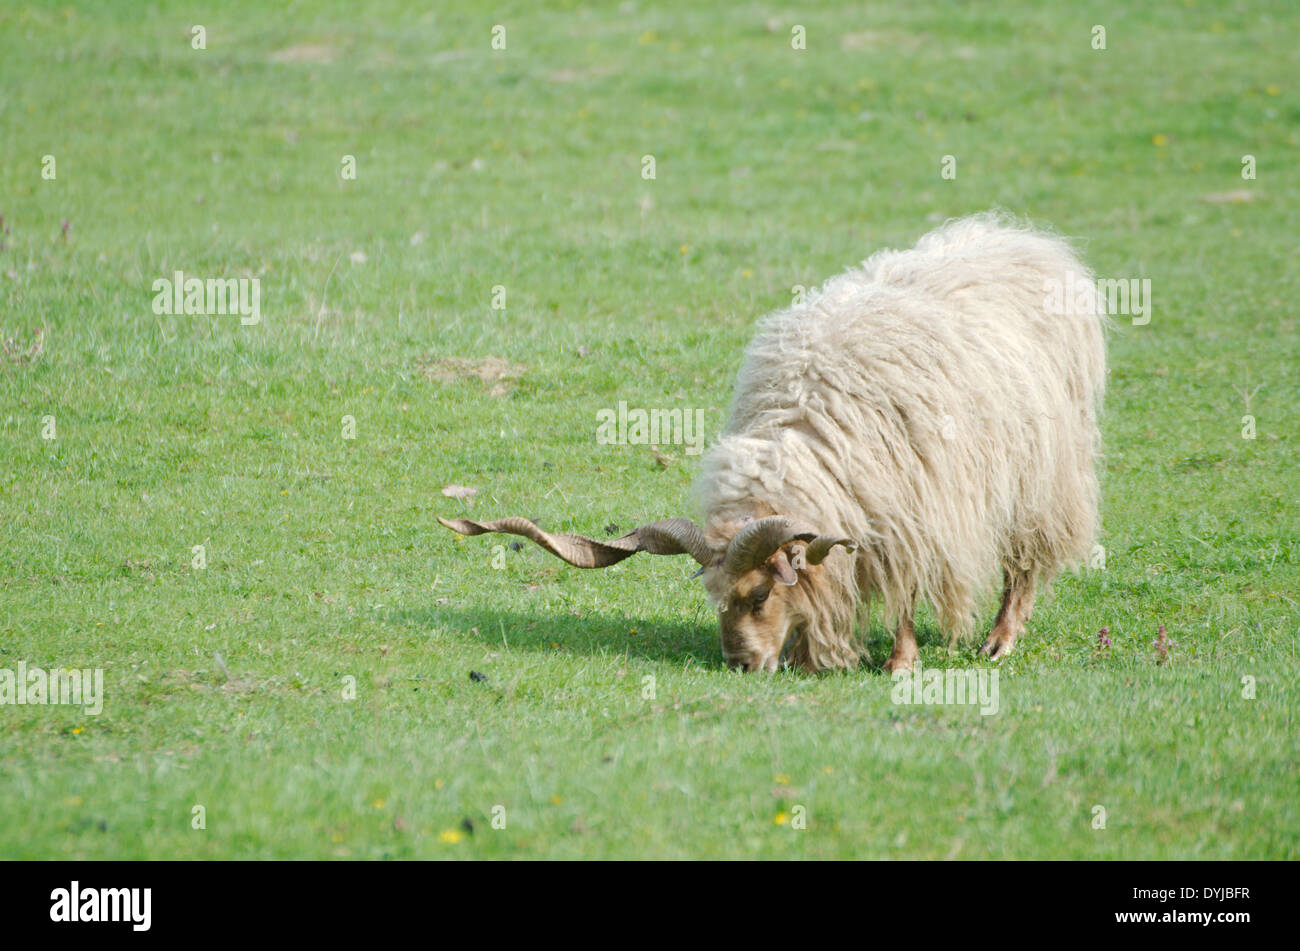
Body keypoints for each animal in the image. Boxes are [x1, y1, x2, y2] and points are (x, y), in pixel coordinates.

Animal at [439, 213, 1107, 675]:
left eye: (759, 593)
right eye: (713, 597)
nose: (740, 665)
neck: (804, 439)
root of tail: (1018, 237)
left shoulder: (914, 514)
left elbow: (905, 593)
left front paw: (901, 662)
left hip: (1044, 474)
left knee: (1026, 560)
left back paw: (1001, 641)